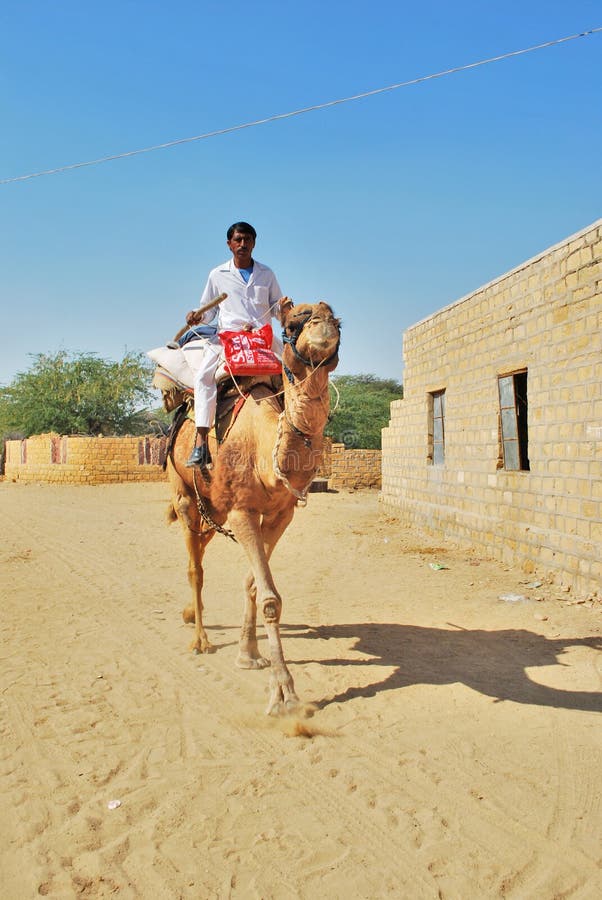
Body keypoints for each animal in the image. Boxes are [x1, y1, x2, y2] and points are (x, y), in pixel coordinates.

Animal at [161, 298, 341, 714]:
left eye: (338, 320)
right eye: (294, 322)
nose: (324, 326)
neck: (264, 451)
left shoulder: (279, 513)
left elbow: (255, 585)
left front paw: (249, 654)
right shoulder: (242, 510)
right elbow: (271, 598)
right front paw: (285, 693)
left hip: (211, 506)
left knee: (203, 544)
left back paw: (190, 614)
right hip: (183, 494)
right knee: (195, 566)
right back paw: (201, 639)